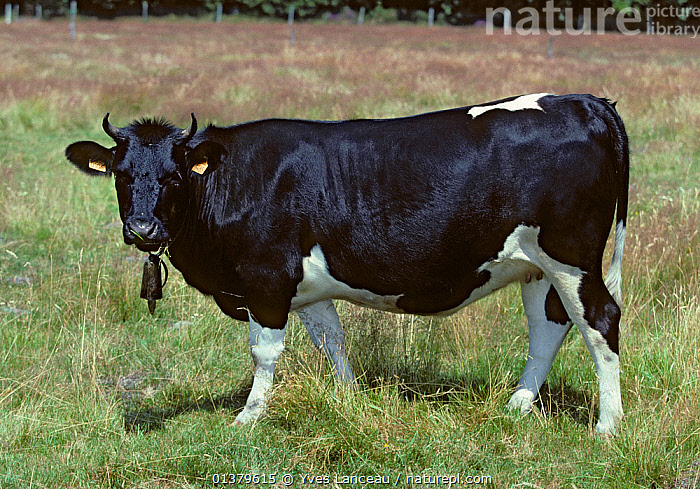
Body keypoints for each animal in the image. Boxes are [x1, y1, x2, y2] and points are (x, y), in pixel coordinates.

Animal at [65, 93, 629, 434]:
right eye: (120, 174)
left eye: (174, 175)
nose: (143, 229)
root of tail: (584, 101)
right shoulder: (308, 291)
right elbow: (332, 343)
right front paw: (349, 399)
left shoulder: (266, 281)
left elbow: (264, 353)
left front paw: (249, 416)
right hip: (532, 266)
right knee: (549, 328)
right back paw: (516, 405)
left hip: (571, 258)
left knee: (600, 321)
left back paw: (607, 425)